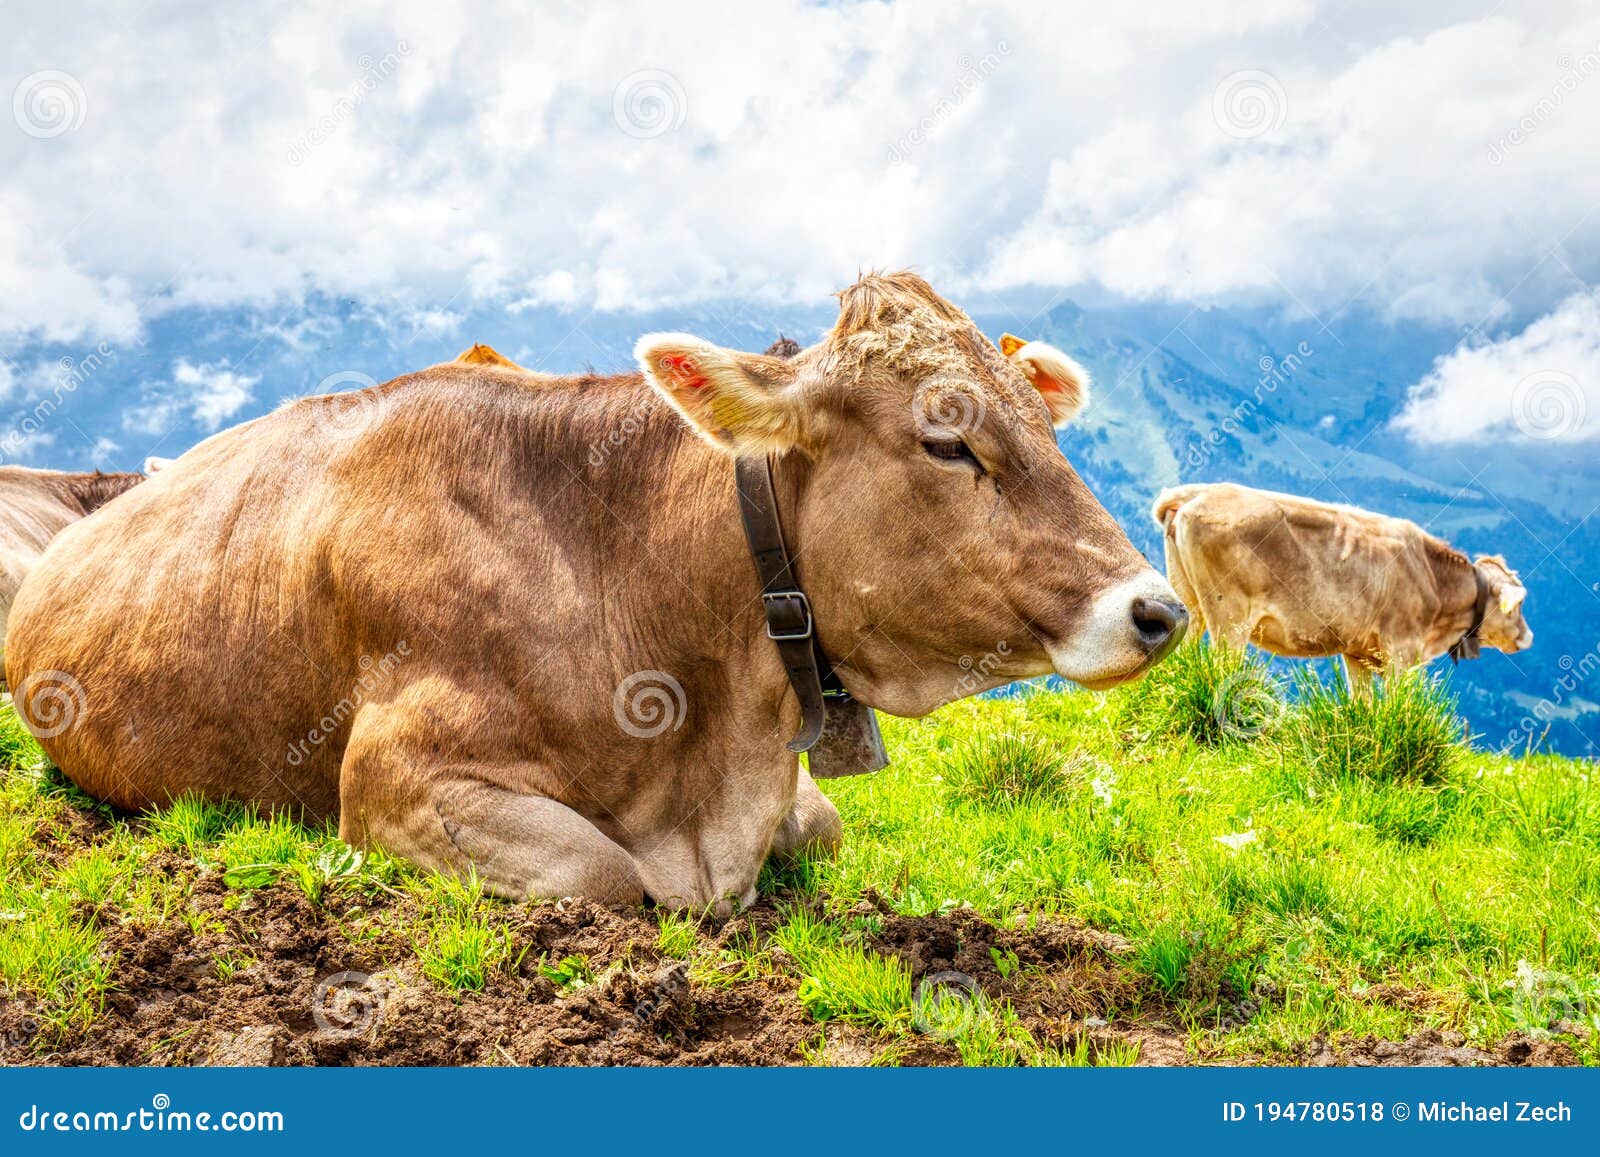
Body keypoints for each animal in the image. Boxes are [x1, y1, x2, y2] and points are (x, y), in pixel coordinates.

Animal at [1153, 482, 1532, 686]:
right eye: (1519, 605)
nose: (1528, 636)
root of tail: (1198, 492)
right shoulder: (1402, 652)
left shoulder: (1358, 653)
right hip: (1230, 614)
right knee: (1220, 666)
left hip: (1188, 602)